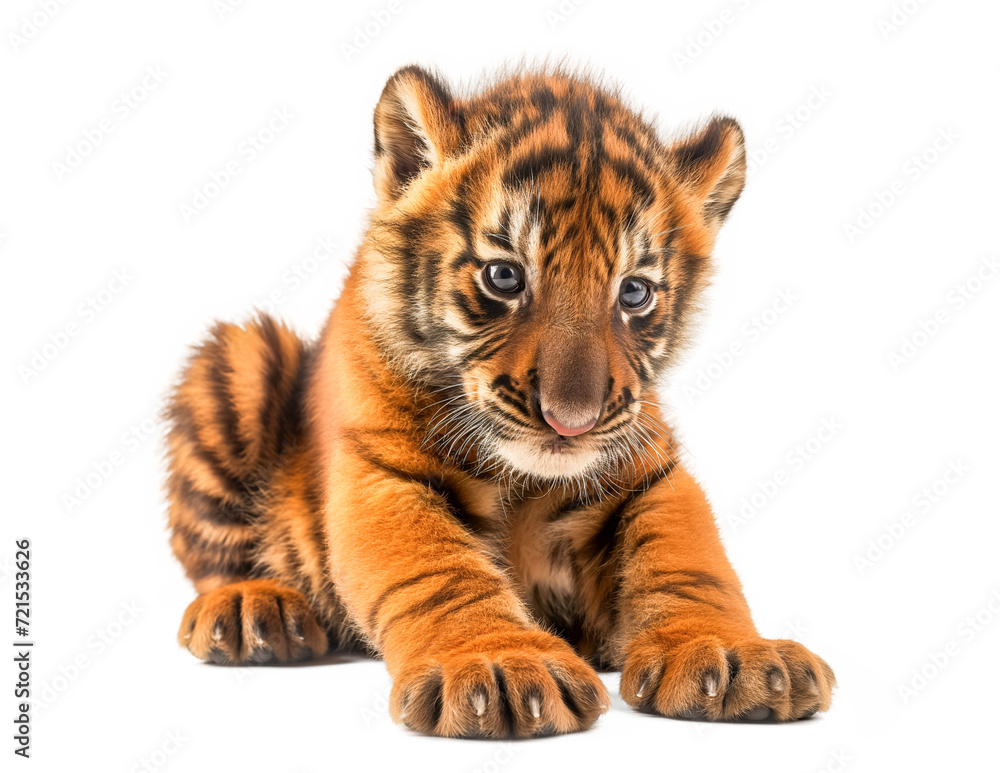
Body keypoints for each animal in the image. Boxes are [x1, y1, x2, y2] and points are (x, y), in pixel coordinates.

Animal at [165, 65, 835, 738]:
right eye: (504, 277)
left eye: (634, 292)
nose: (572, 423)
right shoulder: (379, 476)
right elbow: (442, 572)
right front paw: (500, 669)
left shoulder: (650, 468)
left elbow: (690, 560)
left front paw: (733, 656)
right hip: (242, 360)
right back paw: (251, 610)